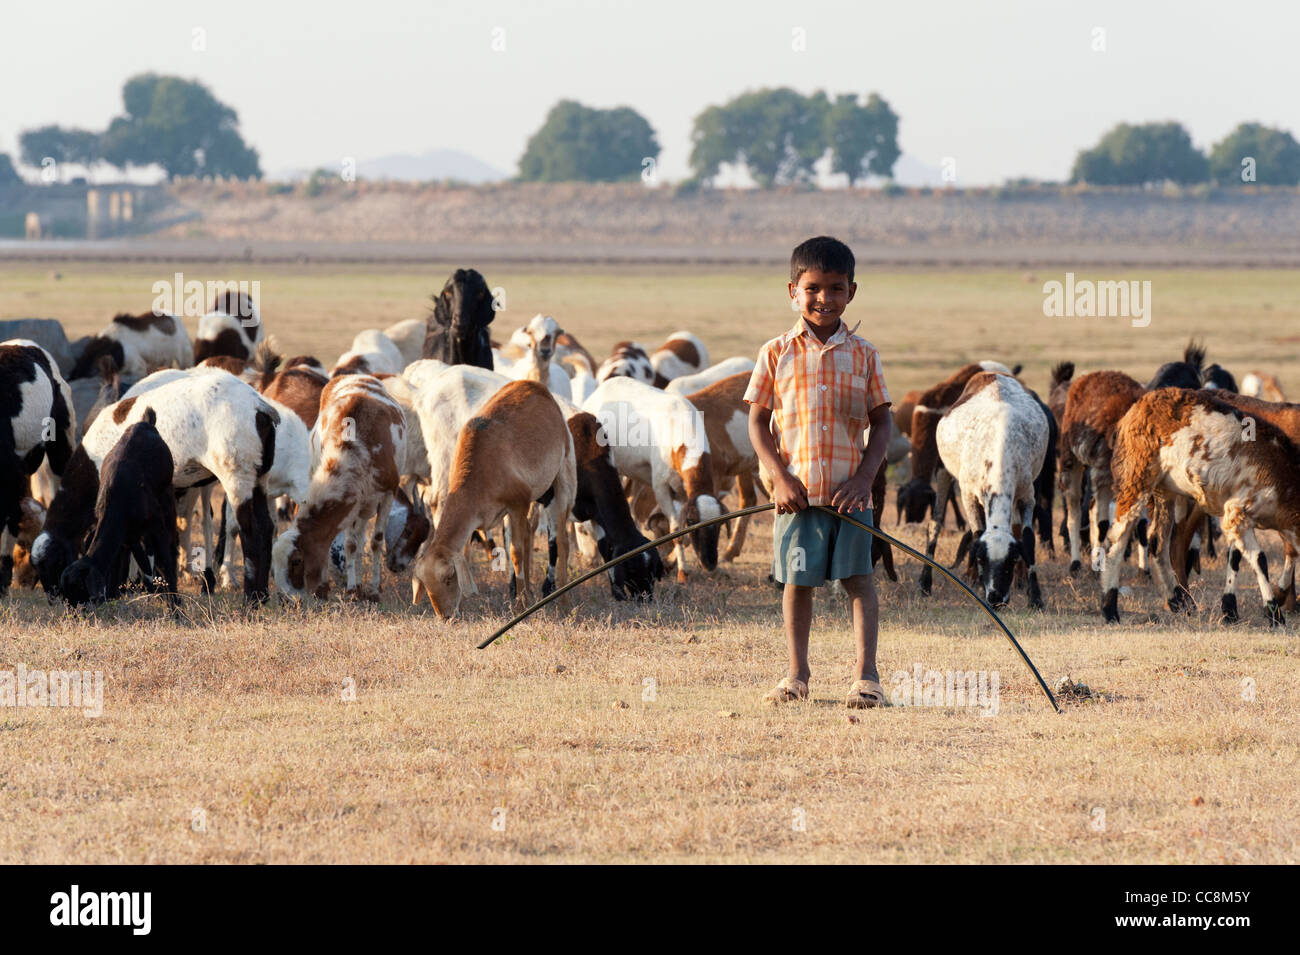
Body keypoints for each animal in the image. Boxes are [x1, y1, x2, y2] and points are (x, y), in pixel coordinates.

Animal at [411, 379, 576, 618]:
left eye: (449, 577)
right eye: (426, 583)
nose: (446, 616)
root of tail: (533, 385)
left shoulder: (517, 504)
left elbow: (516, 552)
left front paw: (521, 605)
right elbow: (470, 552)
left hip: (563, 478)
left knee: (562, 540)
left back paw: (563, 602)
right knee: (529, 532)